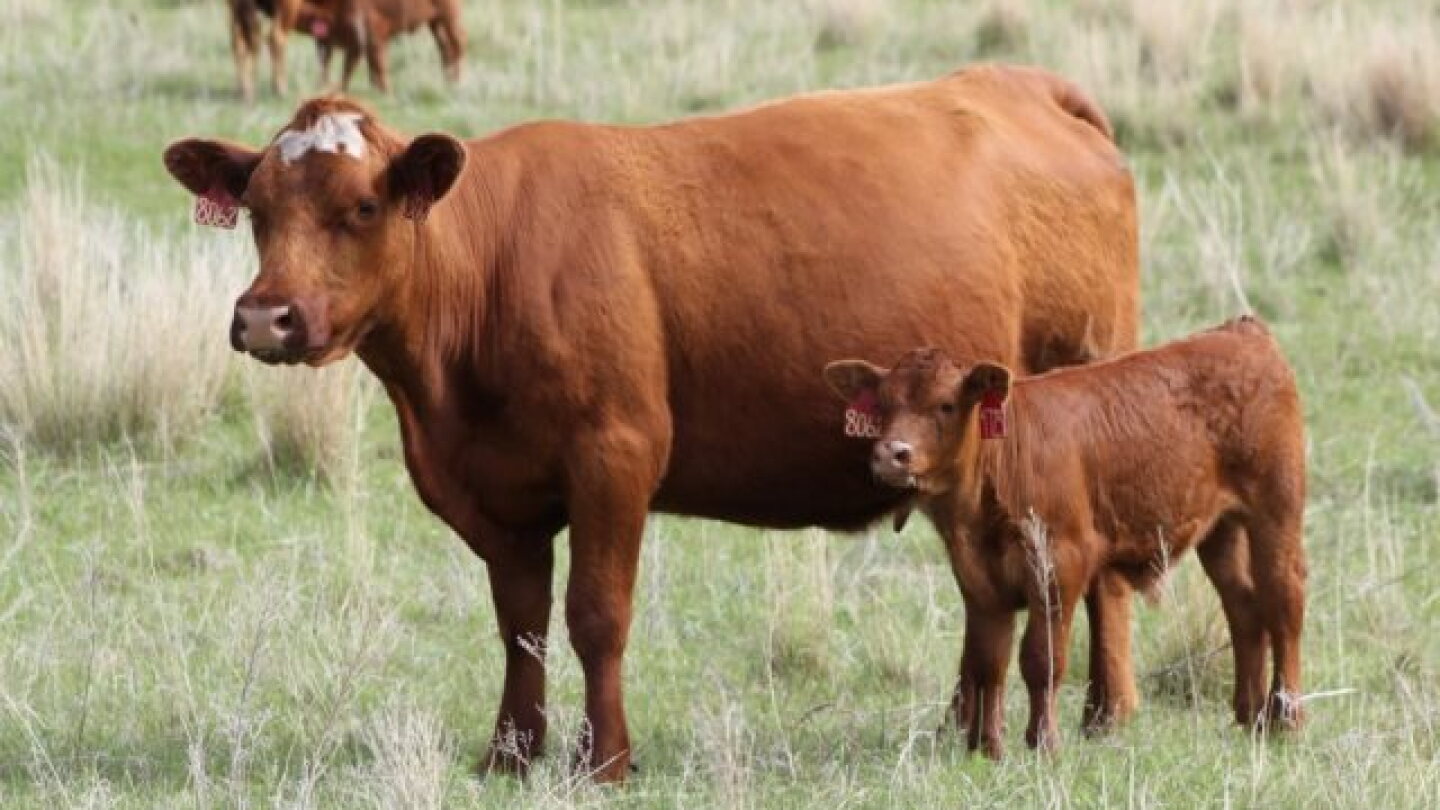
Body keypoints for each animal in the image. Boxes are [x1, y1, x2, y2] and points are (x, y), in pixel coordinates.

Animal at [161, 64, 1138, 781]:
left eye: (361, 207)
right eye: (256, 211)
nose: (266, 318)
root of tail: (1025, 86)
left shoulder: (614, 457)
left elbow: (597, 615)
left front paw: (606, 761)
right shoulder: (495, 493)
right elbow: (520, 622)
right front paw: (512, 752)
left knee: (1103, 574)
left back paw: (1105, 712)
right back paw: (962, 726)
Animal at [325, 0, 465, 93]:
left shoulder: (370, 35)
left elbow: (375, 65)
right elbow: (360, 67)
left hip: (450, 17)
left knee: (456, 47)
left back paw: (456, 83)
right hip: (435, 23)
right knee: (445, 50)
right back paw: (448, 81)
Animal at [822, 316, 1307, 758]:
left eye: (945, 405)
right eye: (883, 405)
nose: (891, 454)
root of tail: (1242, 330)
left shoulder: (1060, 565)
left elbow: (1042, 658)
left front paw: (1043, 743)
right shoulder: (979, 581)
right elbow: (988, 661)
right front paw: (986, 749)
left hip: (1276, 510)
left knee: (1283, 602)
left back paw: (1286, 719)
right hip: (1221, 529)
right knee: (1245, 607)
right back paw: (1250, 716)